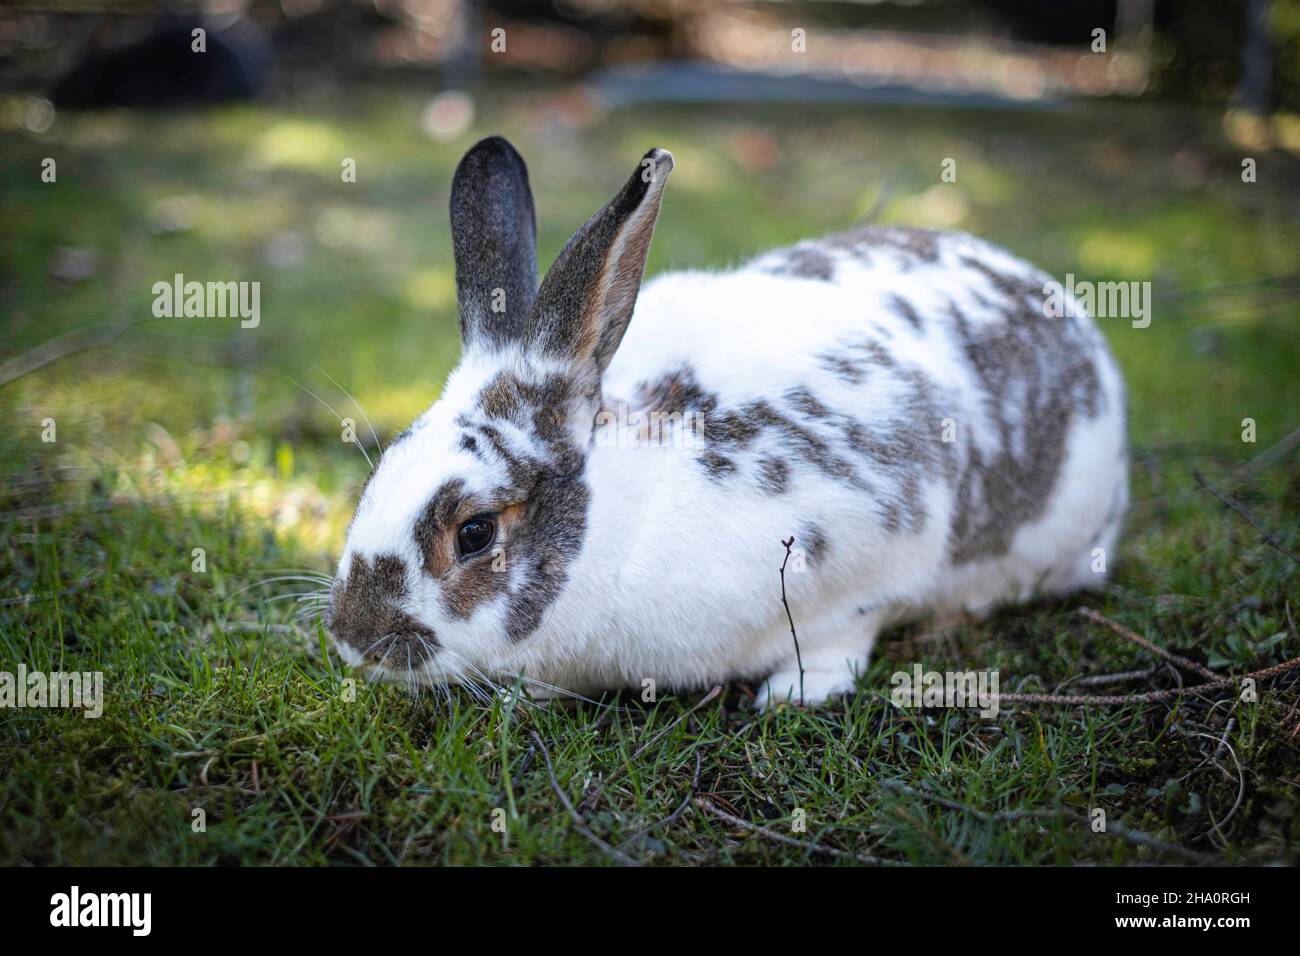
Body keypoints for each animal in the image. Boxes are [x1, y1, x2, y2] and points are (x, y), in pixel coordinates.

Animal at [326, 136, 1128, 710]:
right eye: (378, 474)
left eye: (474, 532)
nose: (353, 638)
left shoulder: (883, 544)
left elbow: (853, 624)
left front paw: (798, 693)